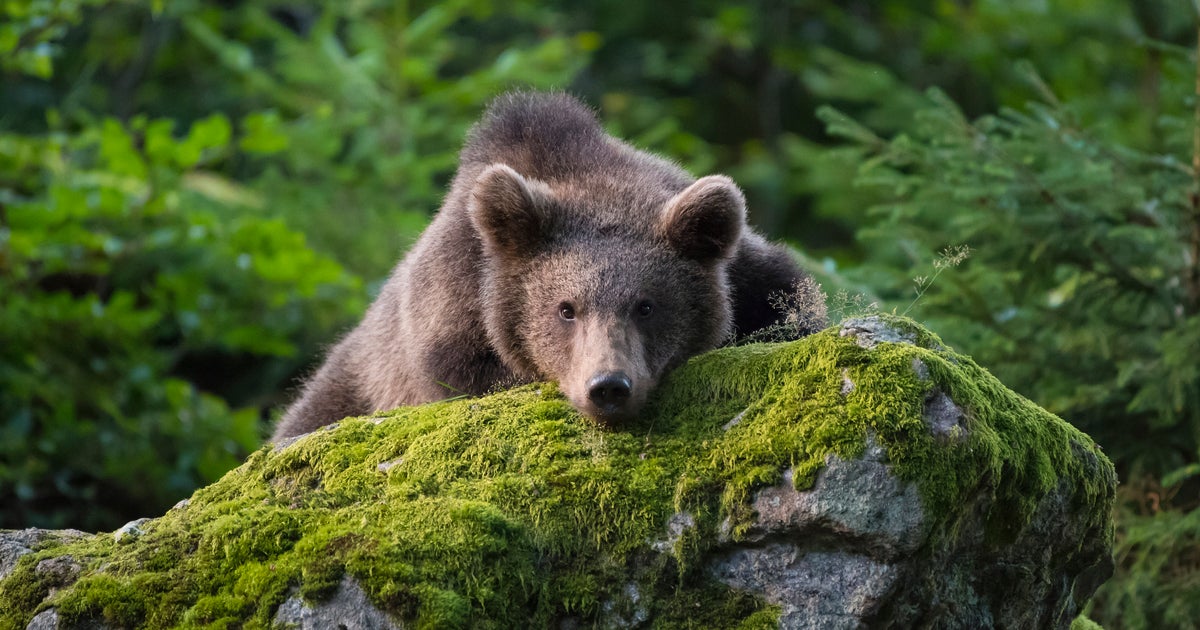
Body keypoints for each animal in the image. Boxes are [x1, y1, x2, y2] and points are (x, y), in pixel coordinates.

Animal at [271, 91, 822, 441]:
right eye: (565, 308)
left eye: (646, 305)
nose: (608, 387)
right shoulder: (453, 304)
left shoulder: (749, 274)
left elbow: (790, 306)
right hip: (346, 384)